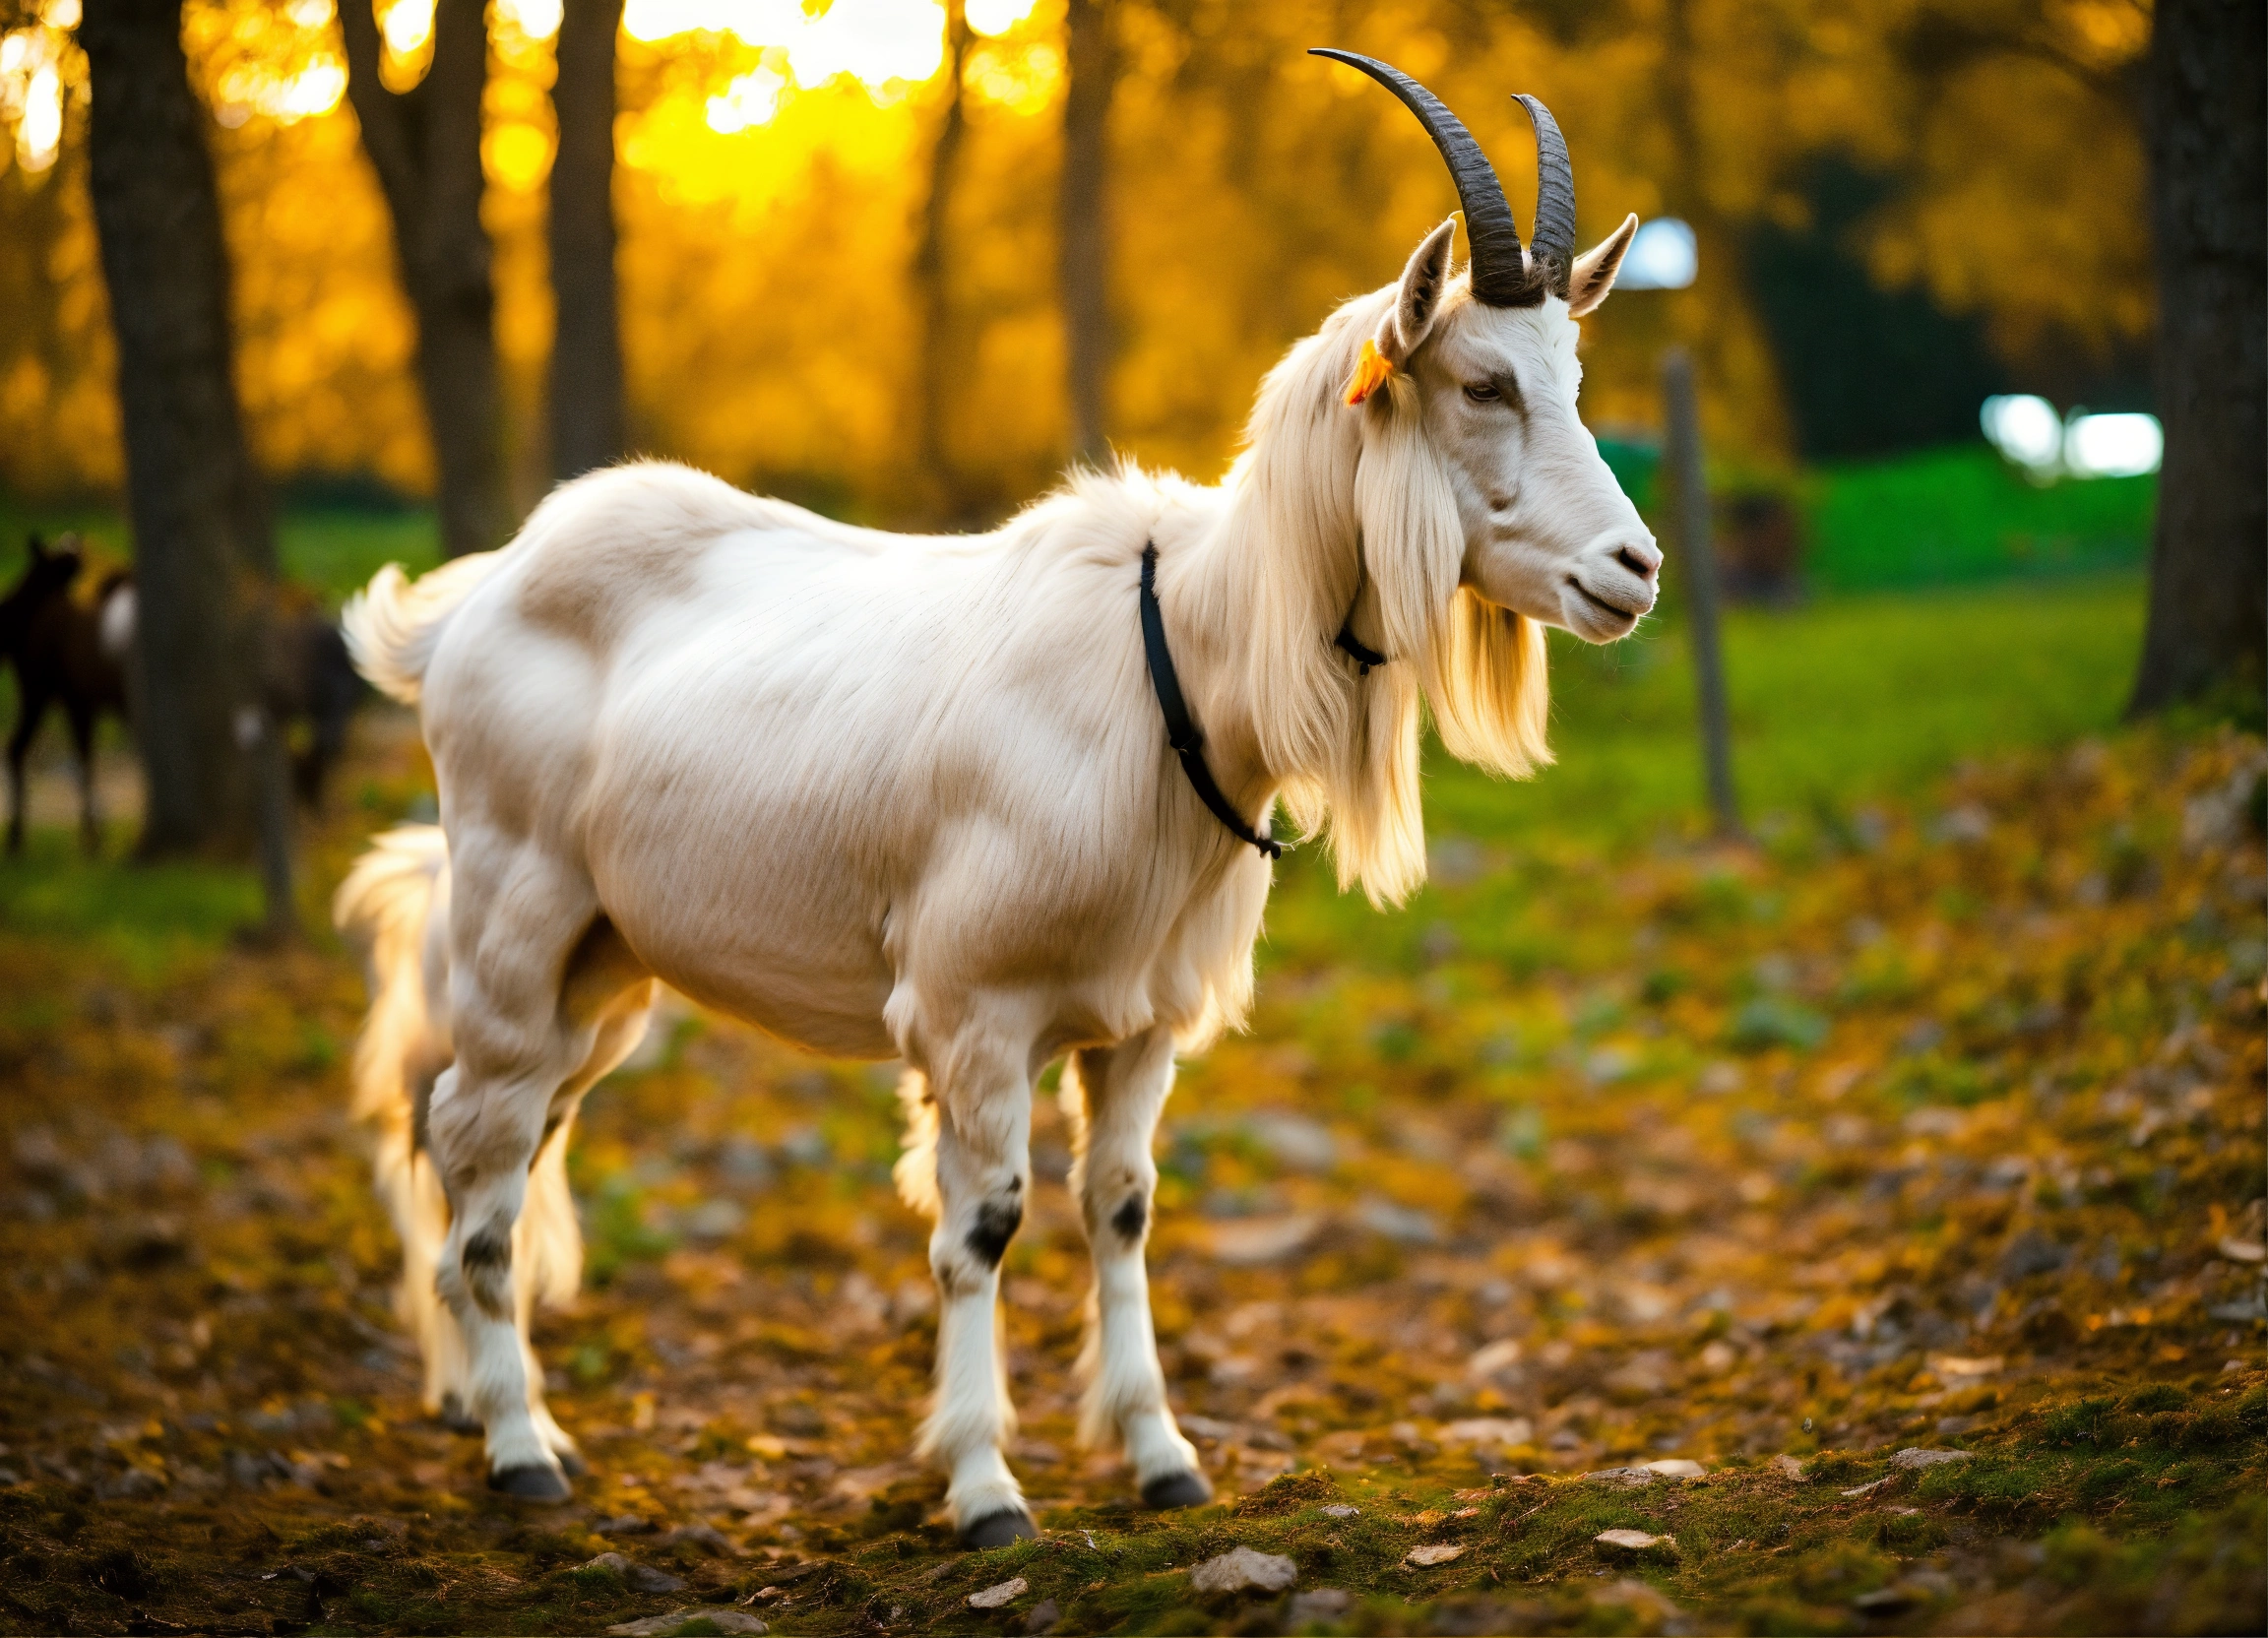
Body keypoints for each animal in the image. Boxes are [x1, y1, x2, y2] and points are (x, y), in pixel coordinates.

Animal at [333, 53, 1659, 1543]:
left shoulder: (1141, 1024)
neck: (1181, 657)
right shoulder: (973, 1012)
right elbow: (983, 1227)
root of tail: (465, 609)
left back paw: (471, 1401)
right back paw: (521, 1446)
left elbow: (1122, 1205)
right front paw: (984, 1484)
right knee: (479, 1137)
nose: (1635, 567)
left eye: (1573, 375)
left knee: (481, 1136)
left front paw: (1161, 1456)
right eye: (1484, 381)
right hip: (515, 919)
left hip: (603, 973)